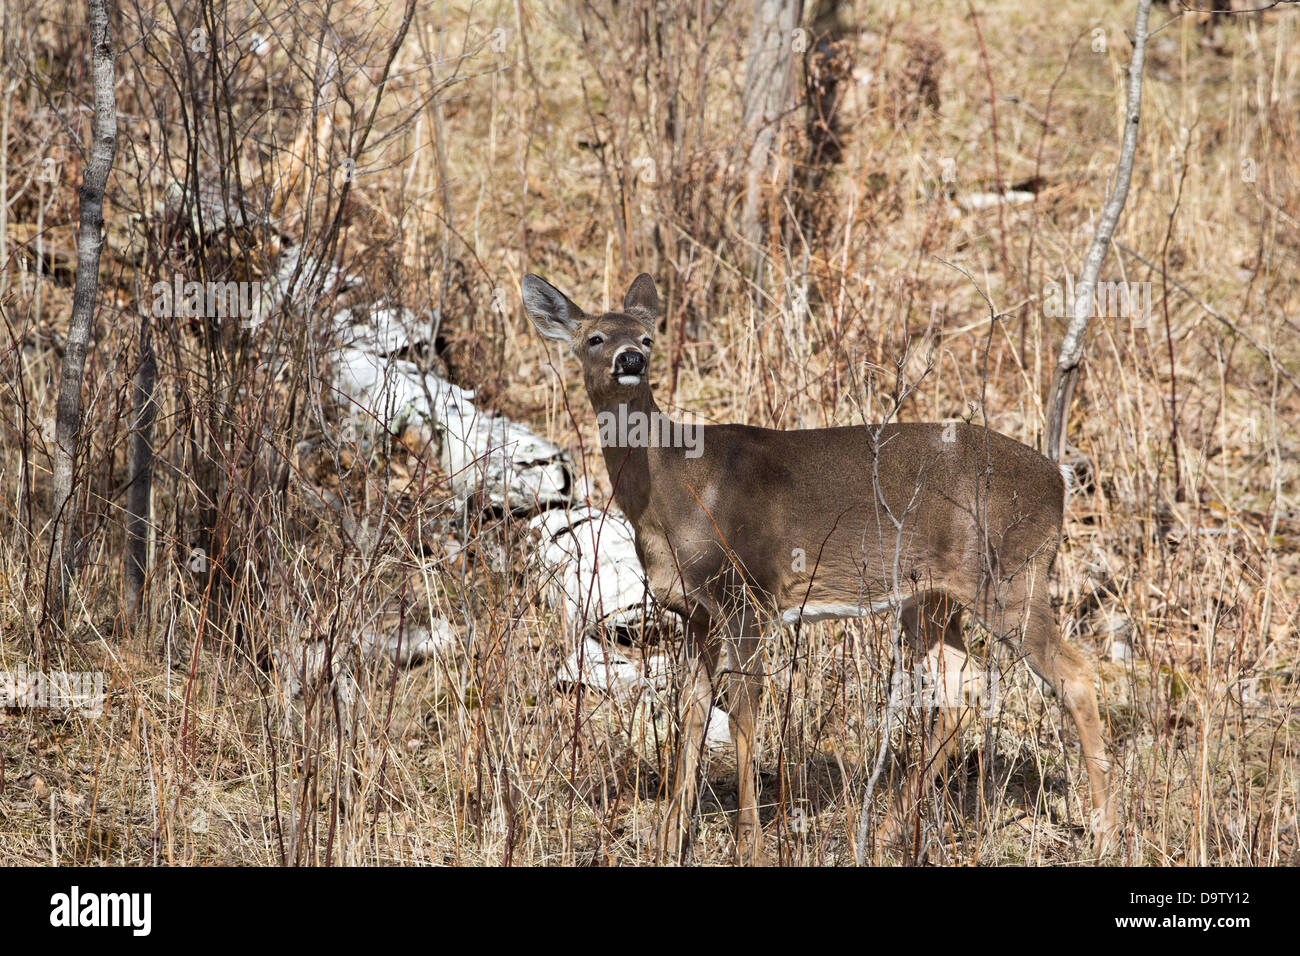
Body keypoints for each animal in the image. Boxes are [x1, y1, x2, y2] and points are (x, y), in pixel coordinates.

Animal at [522, 271, 1117, 865]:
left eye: (647, 338)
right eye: (595, 338)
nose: (630, 359)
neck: (677, 492)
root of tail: (1059, 480)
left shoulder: (750, 594)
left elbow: (743, 714)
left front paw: (751, 844)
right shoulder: (694, 613)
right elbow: (691, 713)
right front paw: (669, 839)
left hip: (1012, 577)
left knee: (1074, 674)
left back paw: (1106, 832)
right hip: (932, 599)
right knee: (962, 687)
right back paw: (887, 831)